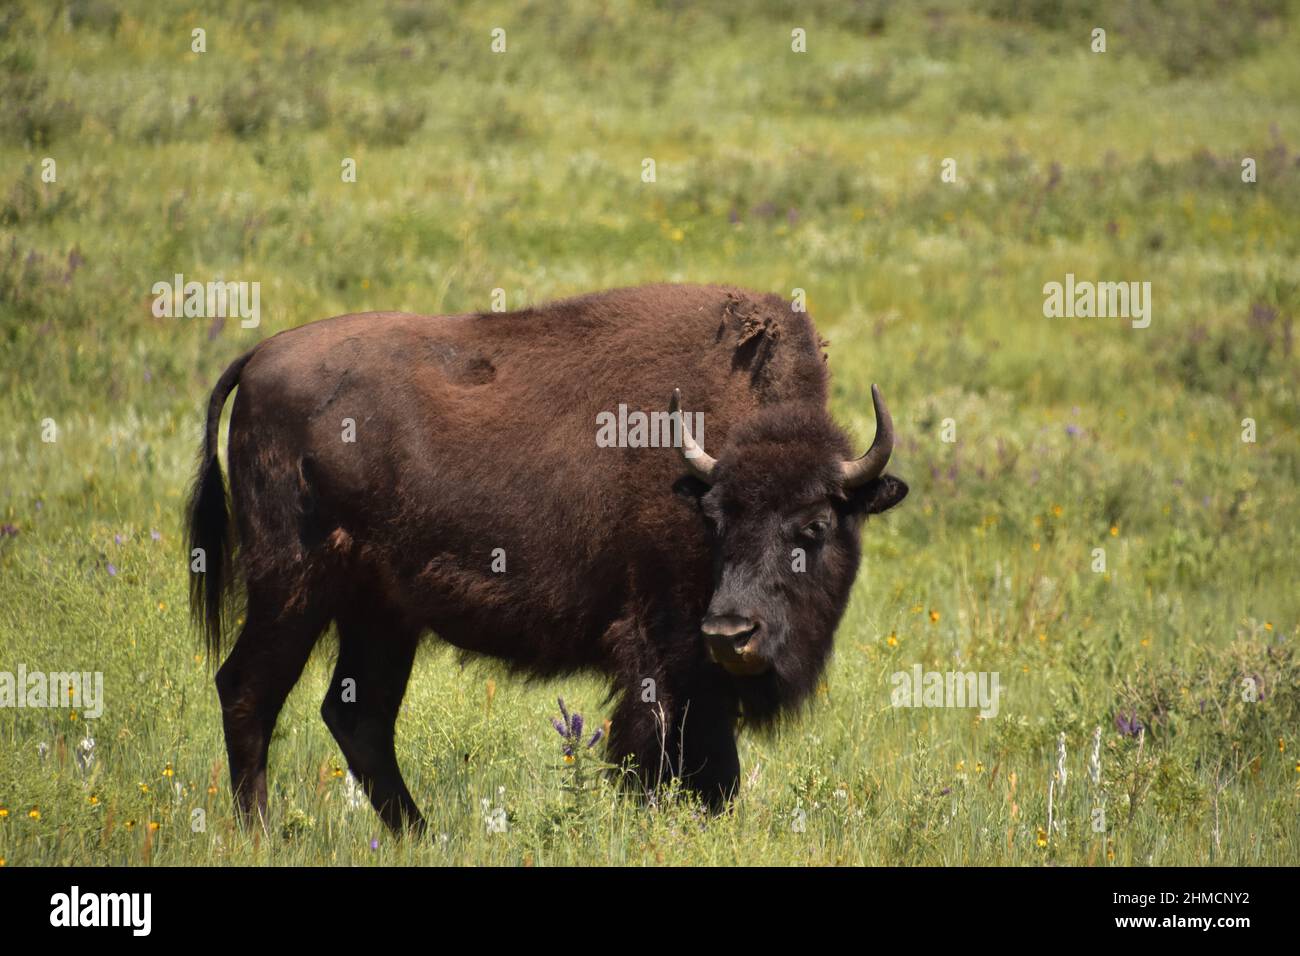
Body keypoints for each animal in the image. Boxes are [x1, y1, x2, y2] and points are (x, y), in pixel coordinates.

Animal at [187, 284, 907, 832]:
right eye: (716, 519)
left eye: (815, 525)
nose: (734, 633)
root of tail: (258, 357)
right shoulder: (662, 652)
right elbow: (669, 758)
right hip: (292, 589)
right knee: (247, 690)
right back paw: (262, 834)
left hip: (381, 615)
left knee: (357, 718)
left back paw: (420, 835)